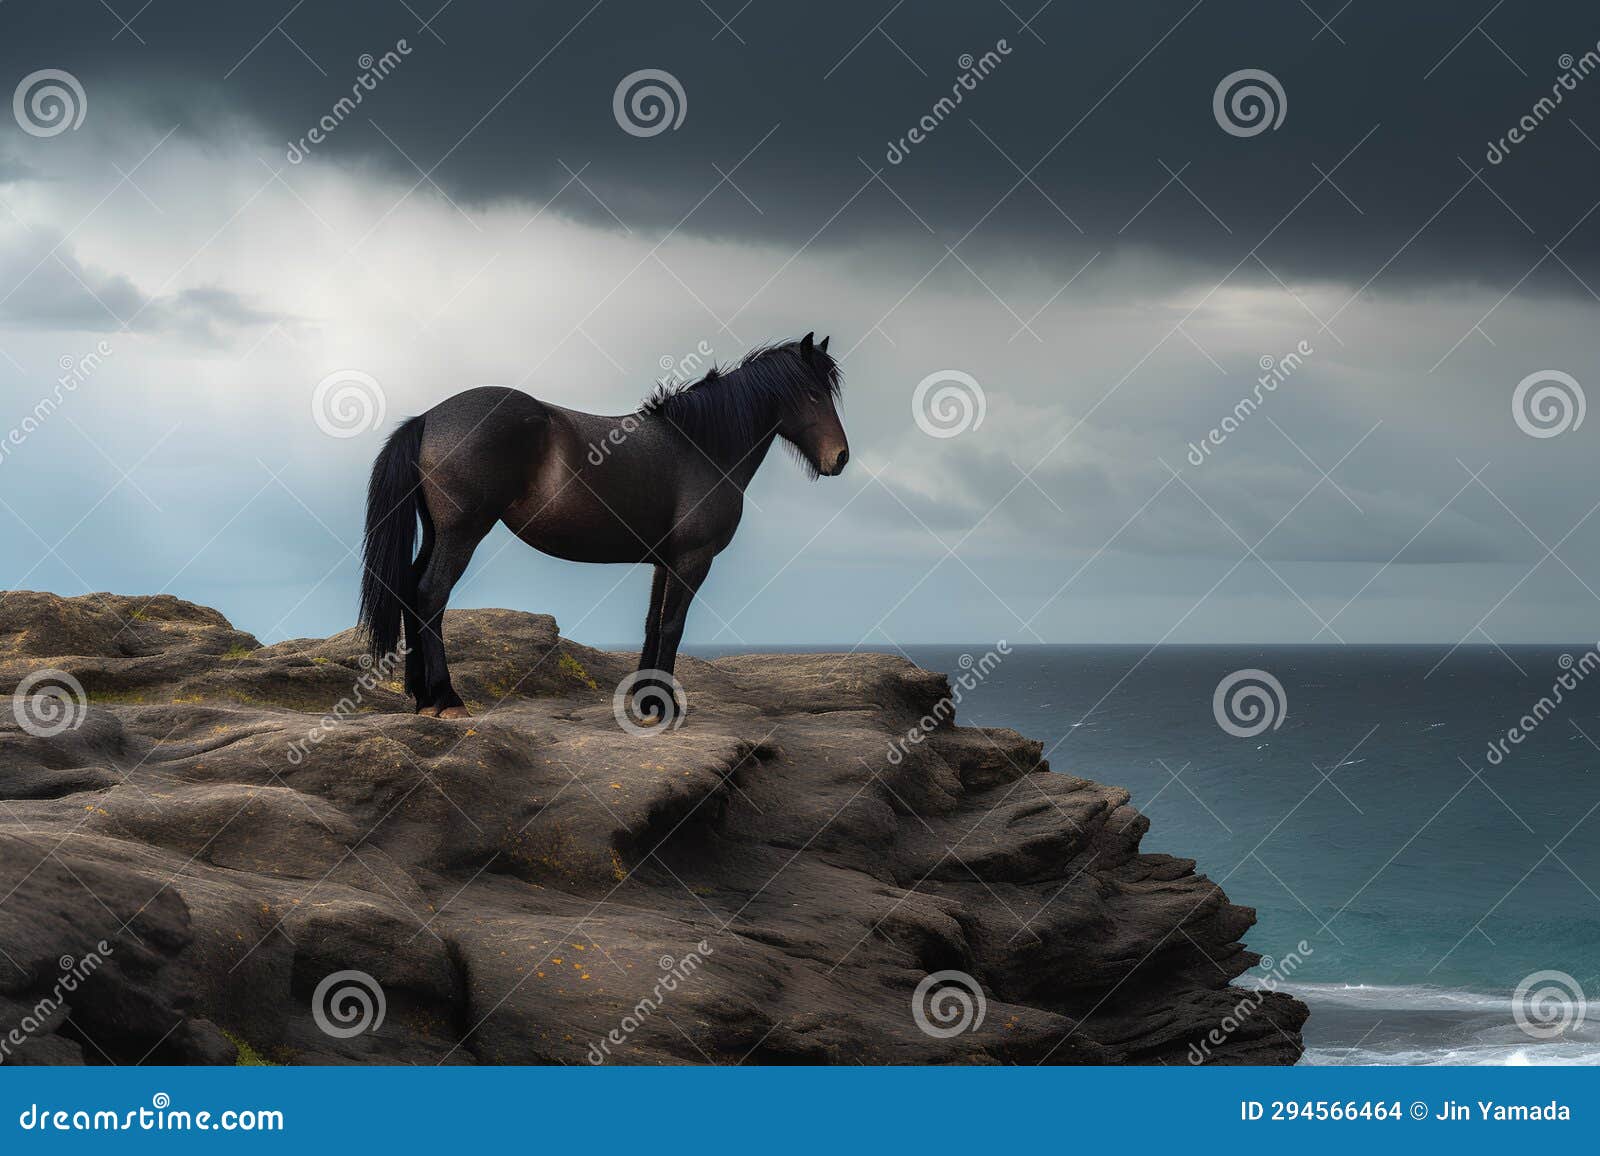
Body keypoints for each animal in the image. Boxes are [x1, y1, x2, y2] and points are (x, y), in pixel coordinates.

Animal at [358, 332, 848, 721]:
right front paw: (661, 706)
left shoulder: (665, 561)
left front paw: (645, 699)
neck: (701, 446)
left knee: (409, 587)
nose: (840, 458)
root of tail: (429, 417)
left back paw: (421, 696)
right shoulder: (693, 559)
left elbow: (653, 623)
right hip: (462, 532)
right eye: (811, 393)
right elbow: (673, 626)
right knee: (431, 594)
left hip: (438, 532)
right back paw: (446, 698)